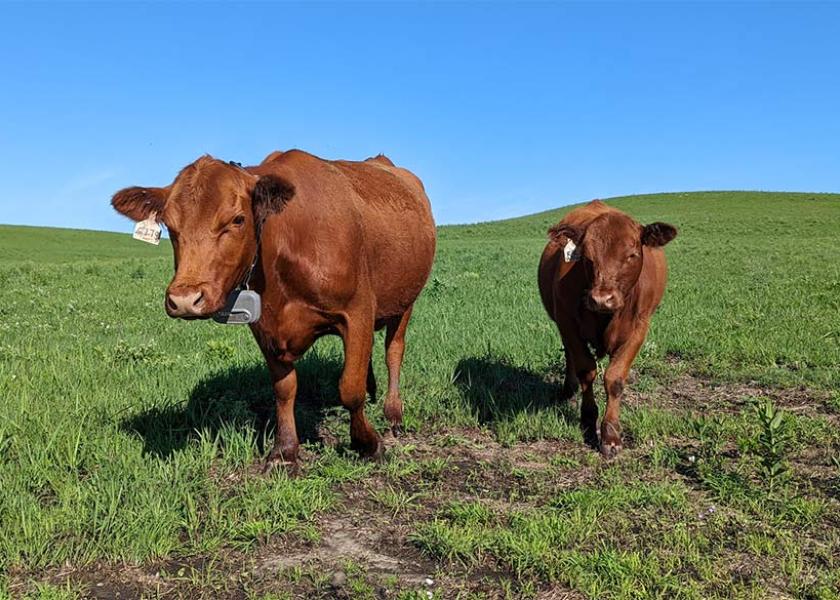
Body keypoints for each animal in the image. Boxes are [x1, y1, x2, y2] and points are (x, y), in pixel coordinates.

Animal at [111, 149, 436, 472]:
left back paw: (393, 412)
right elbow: (284, 388)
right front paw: (285, 451)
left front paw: (367, 443)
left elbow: (349, 387)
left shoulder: (357, 310)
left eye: (238, 219)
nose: (185, 299)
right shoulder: (266, 327)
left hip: (405, 301)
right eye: (169, 224)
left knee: (394, 350)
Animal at [538, 200, 677, 458]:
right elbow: (586, 370)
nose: (602, 299)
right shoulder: (567, 322)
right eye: (587, 258)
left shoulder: (639, 327)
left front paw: (611, 435)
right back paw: (568, 389)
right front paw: (587, 420)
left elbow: (615, 378)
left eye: (632, 255)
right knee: (569, 356)